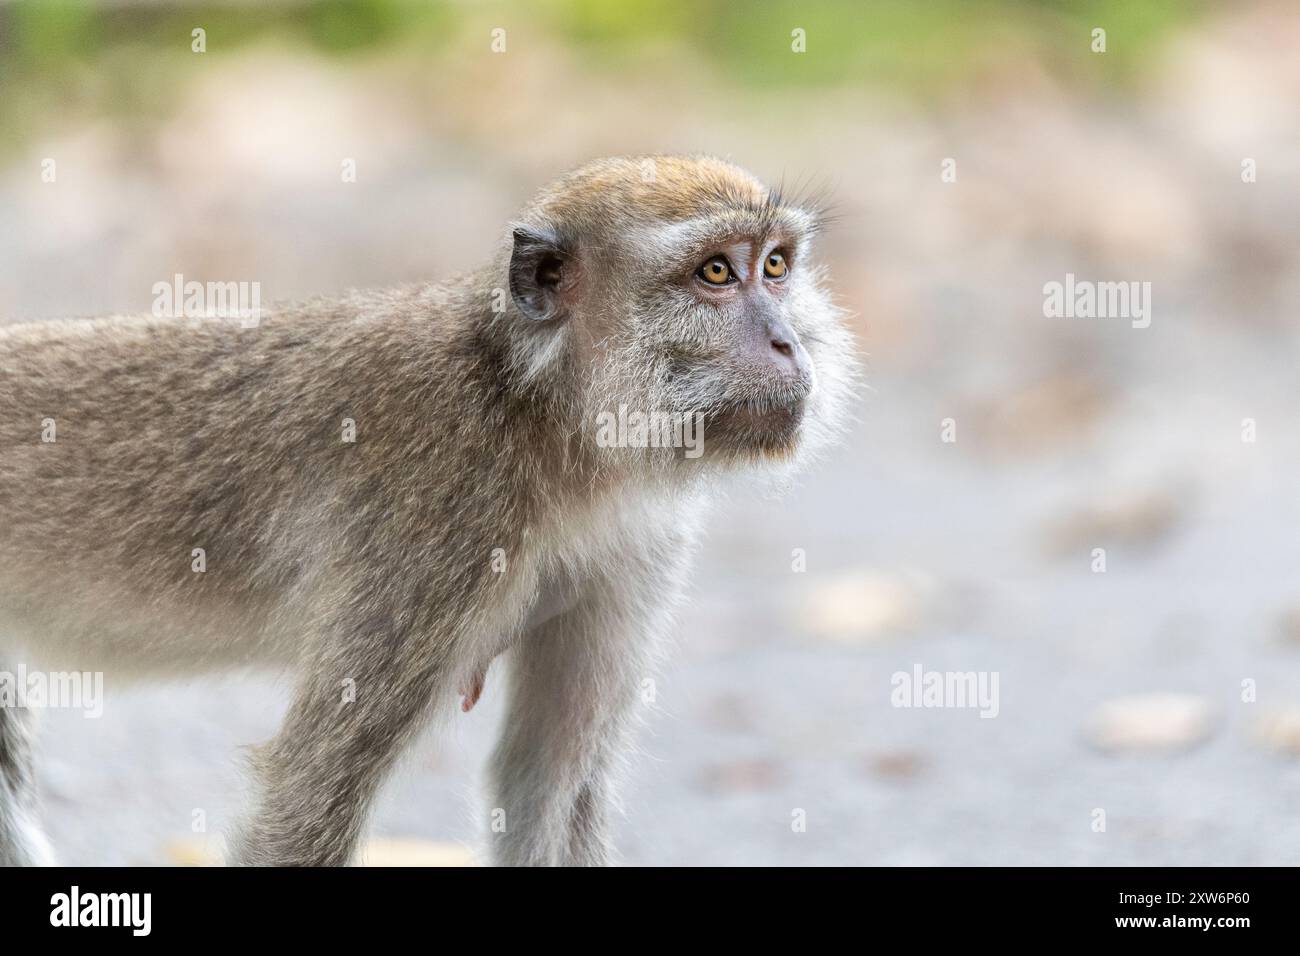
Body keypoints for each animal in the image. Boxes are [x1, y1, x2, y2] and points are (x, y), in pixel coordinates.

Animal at [0, 155, 856, 866]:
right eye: (716, 273)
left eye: (775, 267)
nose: (787, 343)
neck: (545, 415)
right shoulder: (443, 515)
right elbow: (309, 791)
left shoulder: (635, 541)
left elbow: (550, 783)